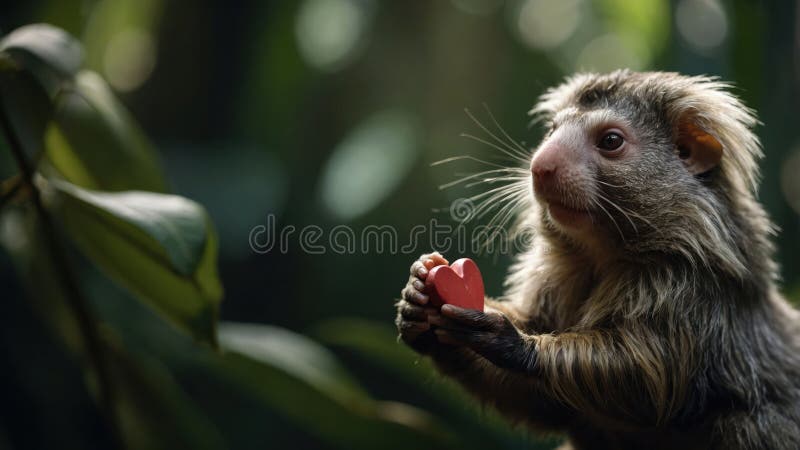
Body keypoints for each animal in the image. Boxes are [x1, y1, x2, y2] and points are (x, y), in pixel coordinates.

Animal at [395, 70, 800, 450]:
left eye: (610, 141)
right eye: (553, 131)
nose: (541, 167)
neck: (604, 256)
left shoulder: (693, 288)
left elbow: (650, 377)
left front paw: (510, 341)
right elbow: (545, 403)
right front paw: (419, 300)